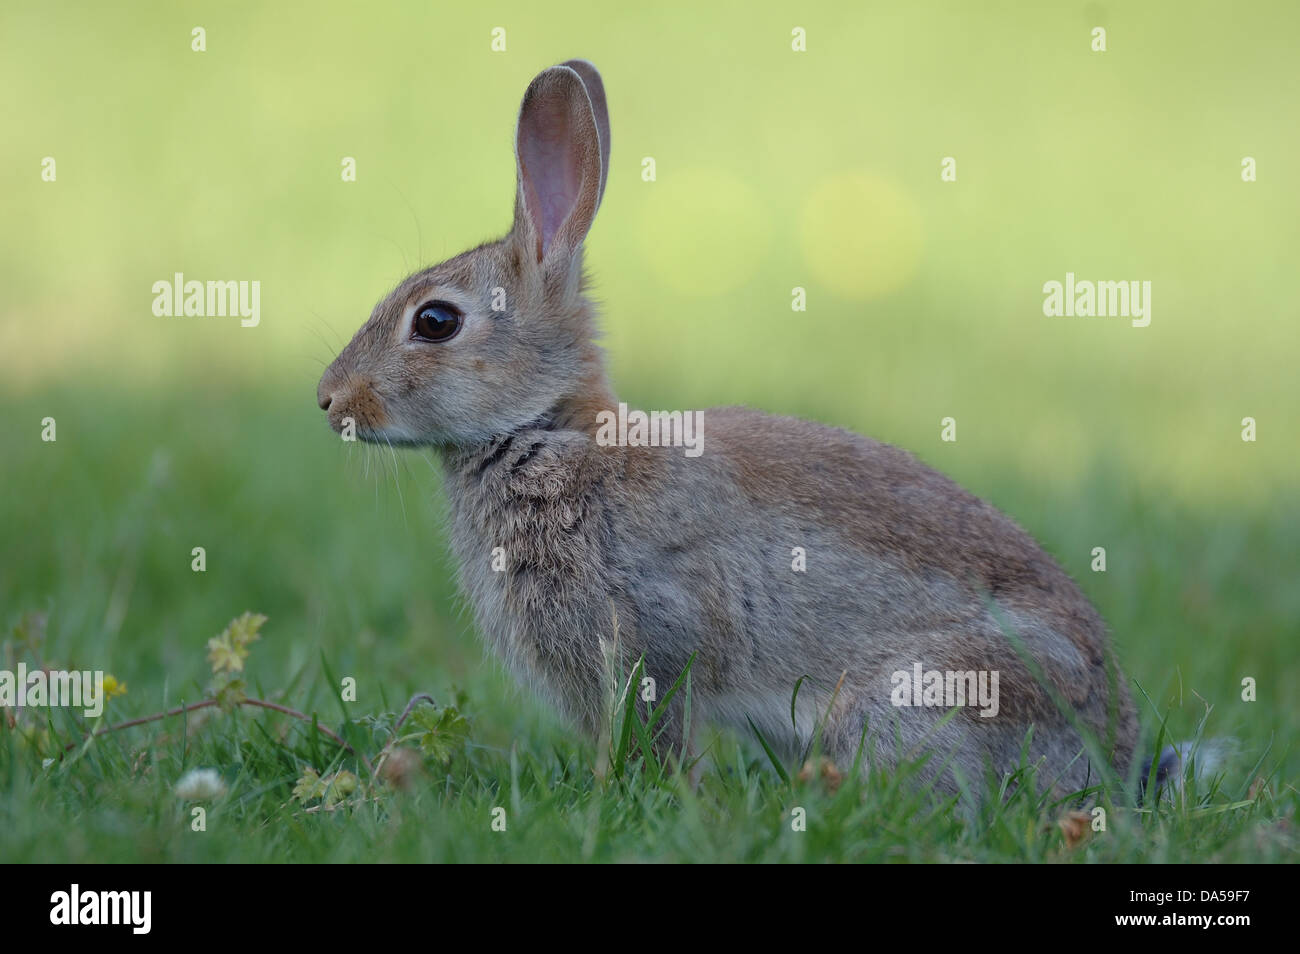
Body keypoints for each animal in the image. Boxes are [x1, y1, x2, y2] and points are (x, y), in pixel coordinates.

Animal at [317, 60, 1139, 797]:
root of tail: (1109, 746)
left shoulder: (653, 638)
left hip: (922, 696)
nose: (328, 400)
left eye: (436, 321)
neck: (551, 433)